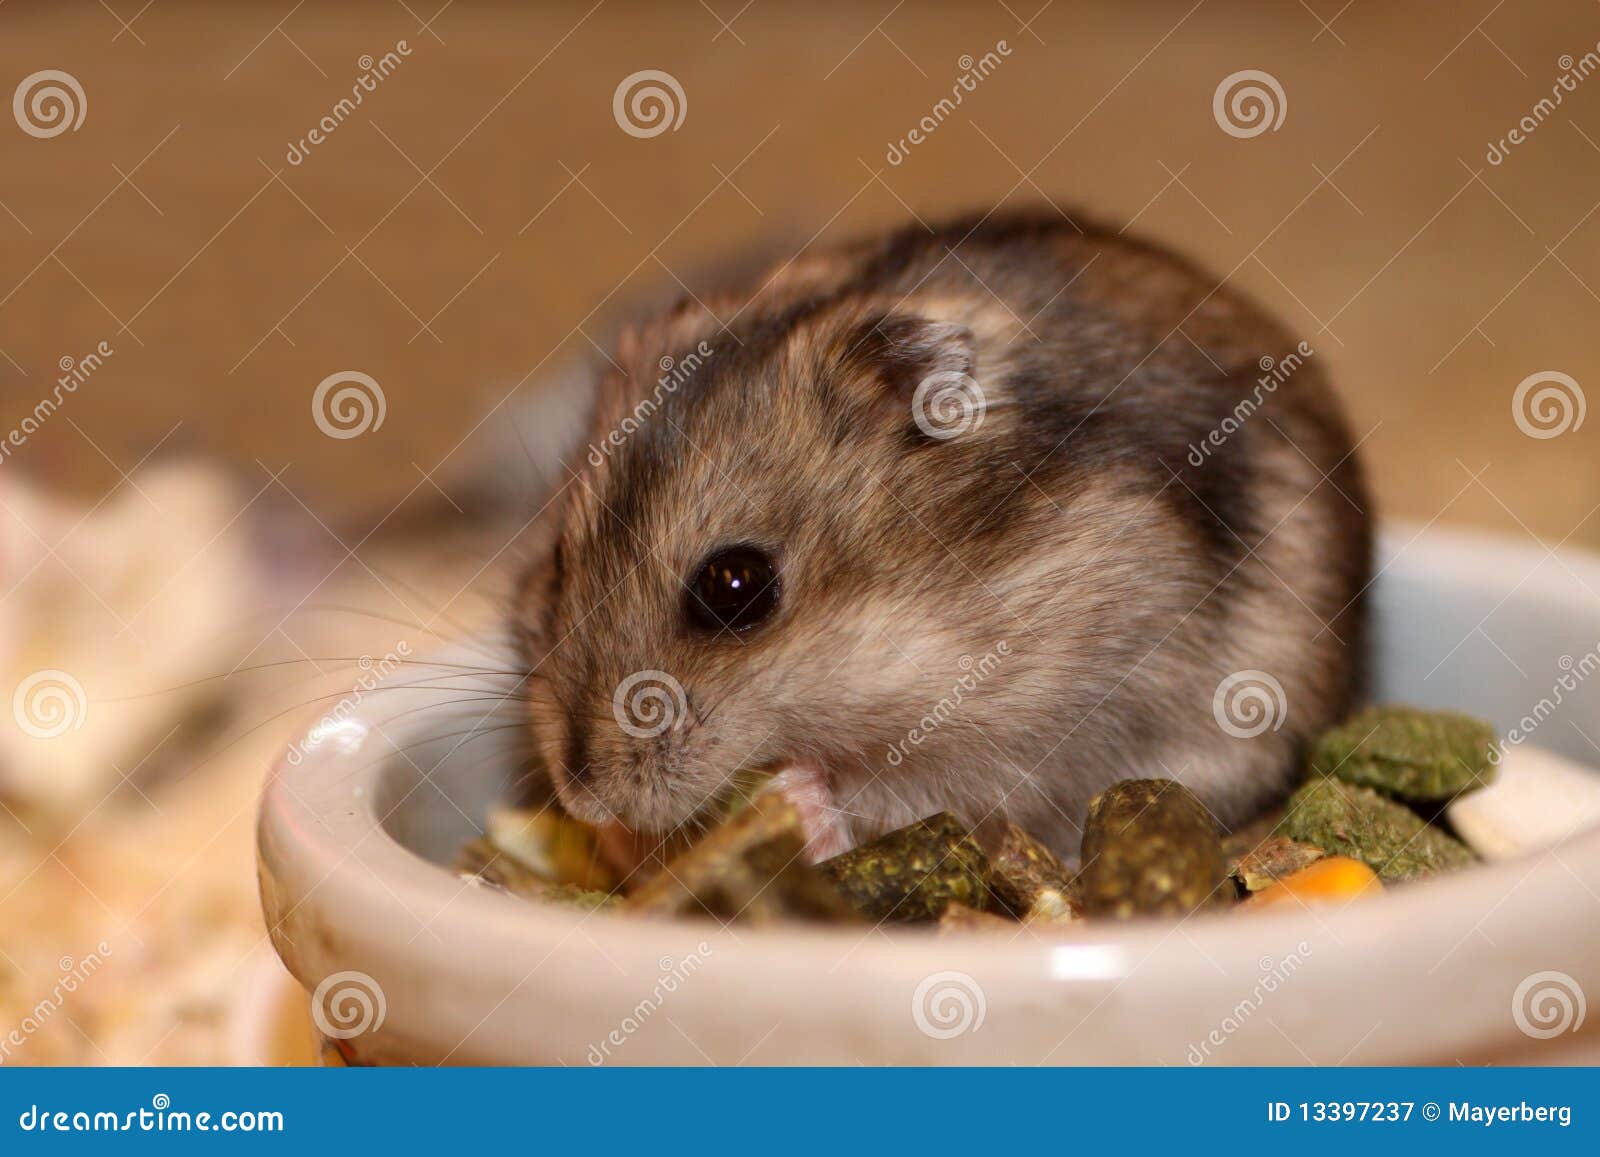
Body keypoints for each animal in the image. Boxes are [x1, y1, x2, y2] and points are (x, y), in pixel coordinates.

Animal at [514, 209, 1371, 859]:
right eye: (555, 561)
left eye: (736, 587)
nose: (586, 800)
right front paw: (620, 842)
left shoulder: (1029, 731)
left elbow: (893, 796)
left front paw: (797, 793)